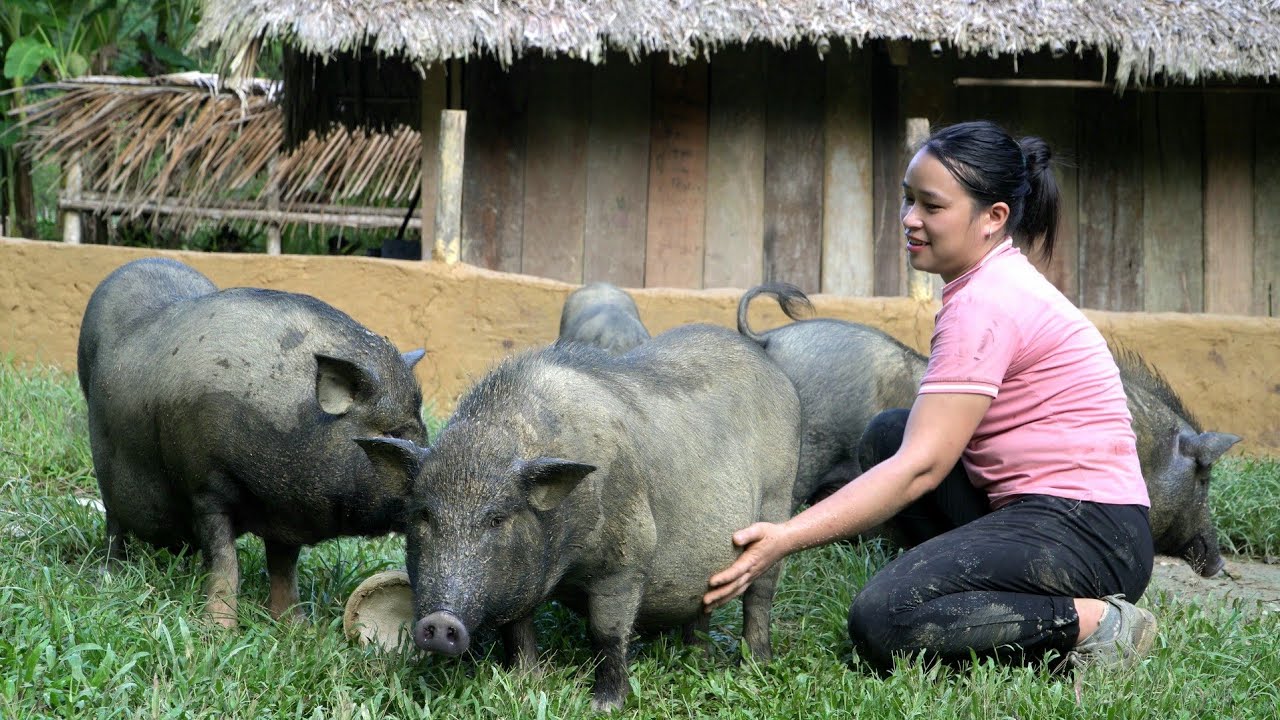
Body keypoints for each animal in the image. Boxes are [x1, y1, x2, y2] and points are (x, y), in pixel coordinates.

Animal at [77, 257, 428, 626]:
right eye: (394, 432)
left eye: (422, 427)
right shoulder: (206, 489)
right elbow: (225, 564)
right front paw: (218, 629)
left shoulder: (287, 516)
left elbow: (284, 571)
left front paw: (295, 626)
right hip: (107, 477)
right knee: (114, 524)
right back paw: (111, 574)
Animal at [358, 324, 800, 712]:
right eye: (423, 515)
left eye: (497, 519)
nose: (438, 623)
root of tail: (774, 370)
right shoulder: (524, 579)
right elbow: (517, 626)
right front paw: (524, 681)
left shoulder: (629, 555)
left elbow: (606, 632)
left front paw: (604, 705)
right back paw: (698, 656)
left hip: (778, 500)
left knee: (759, 596)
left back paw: (754, 664)